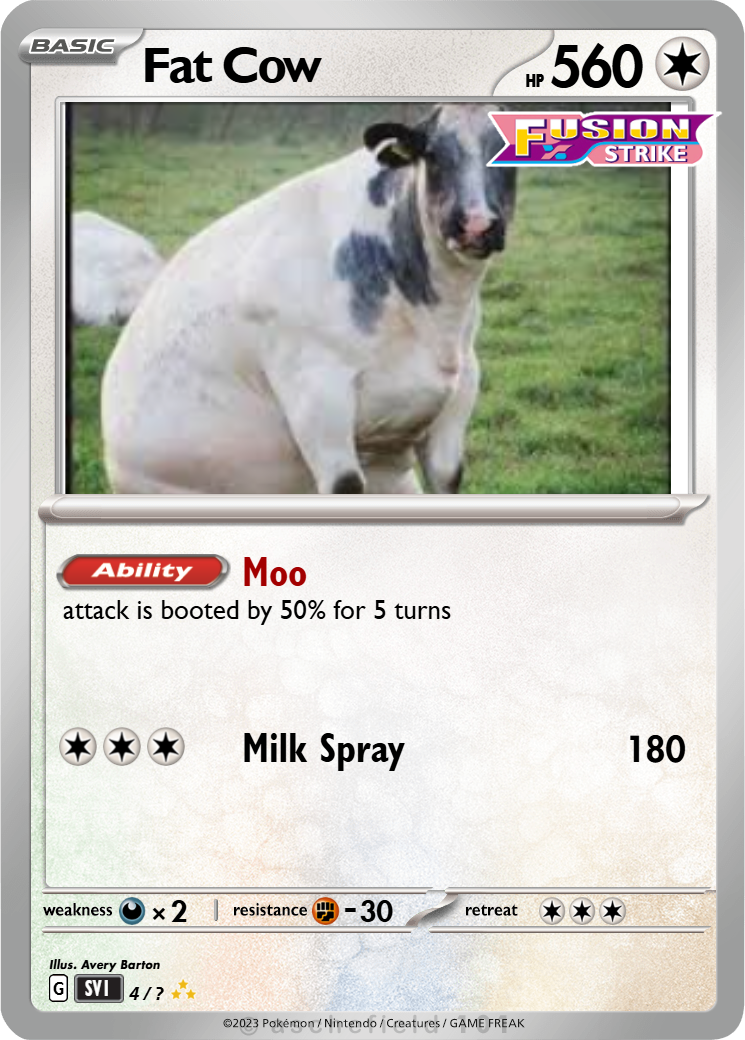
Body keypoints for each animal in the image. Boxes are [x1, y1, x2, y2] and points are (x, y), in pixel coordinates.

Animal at [101, 104, 516, 494]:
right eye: (432, 154)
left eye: (511, 154)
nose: (476, 224)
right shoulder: (316, 393)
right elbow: (346, 484)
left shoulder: (461, 390)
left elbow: (449, 477)